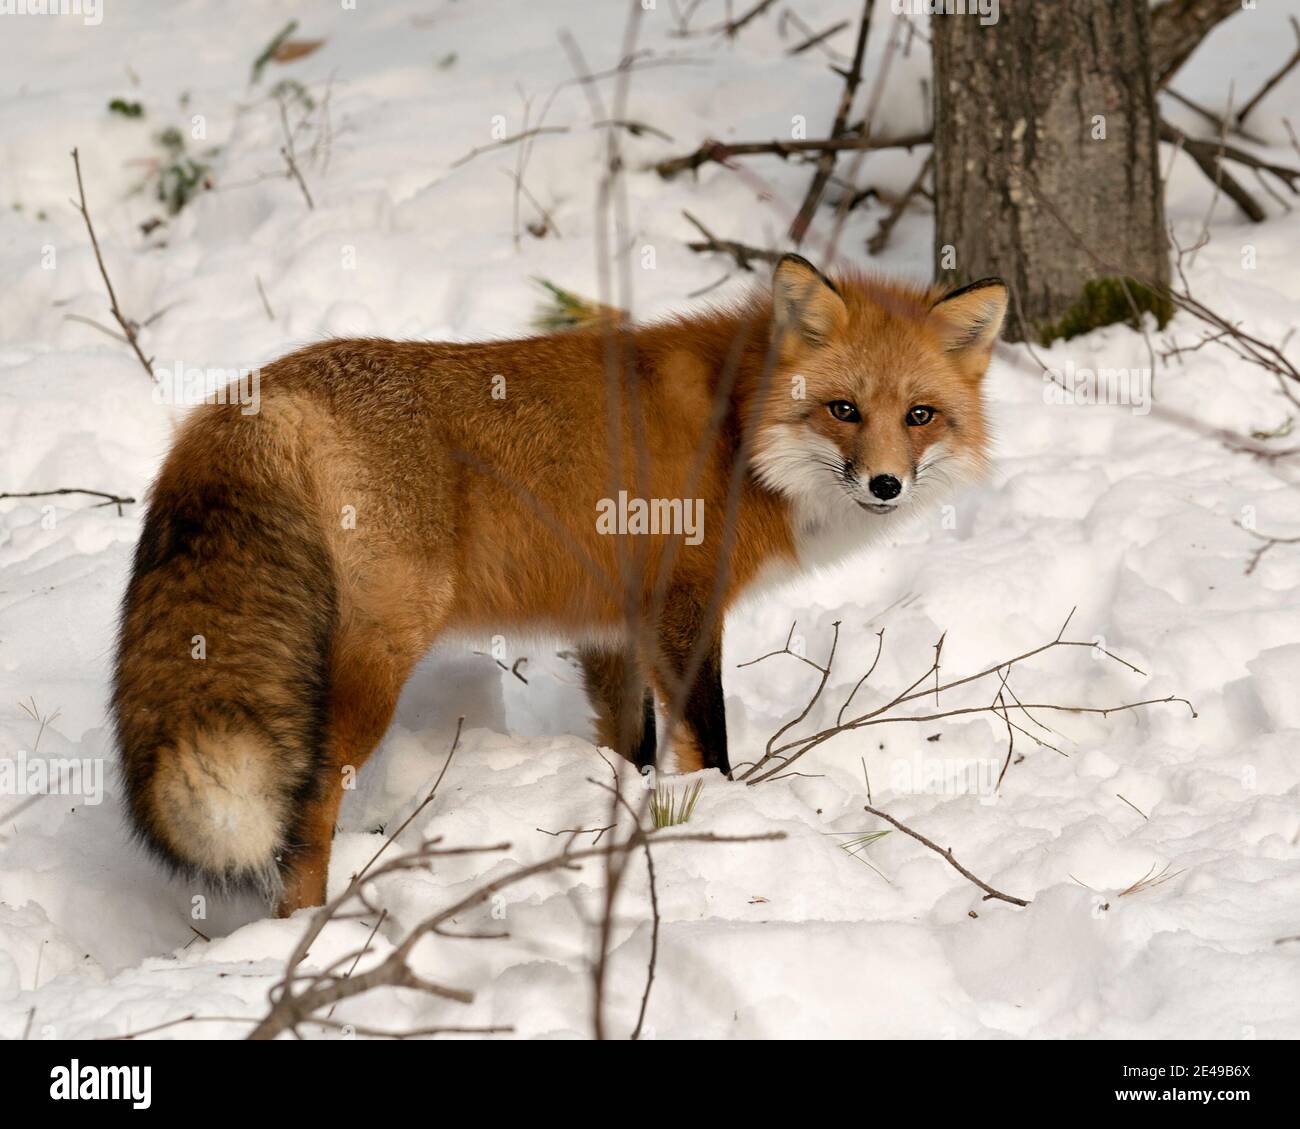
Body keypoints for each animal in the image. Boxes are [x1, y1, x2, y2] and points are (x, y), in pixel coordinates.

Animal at [112, 254, 1007, 915]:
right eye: (843, 409)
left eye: (920, 415)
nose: (886, 485)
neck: (737, 428)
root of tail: (252, 397)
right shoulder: (682, 608)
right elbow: (709, 746)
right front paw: (718, 820)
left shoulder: (613, 626)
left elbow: (633, 747)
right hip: (378, 660)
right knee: (307, 811)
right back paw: (302, 933)